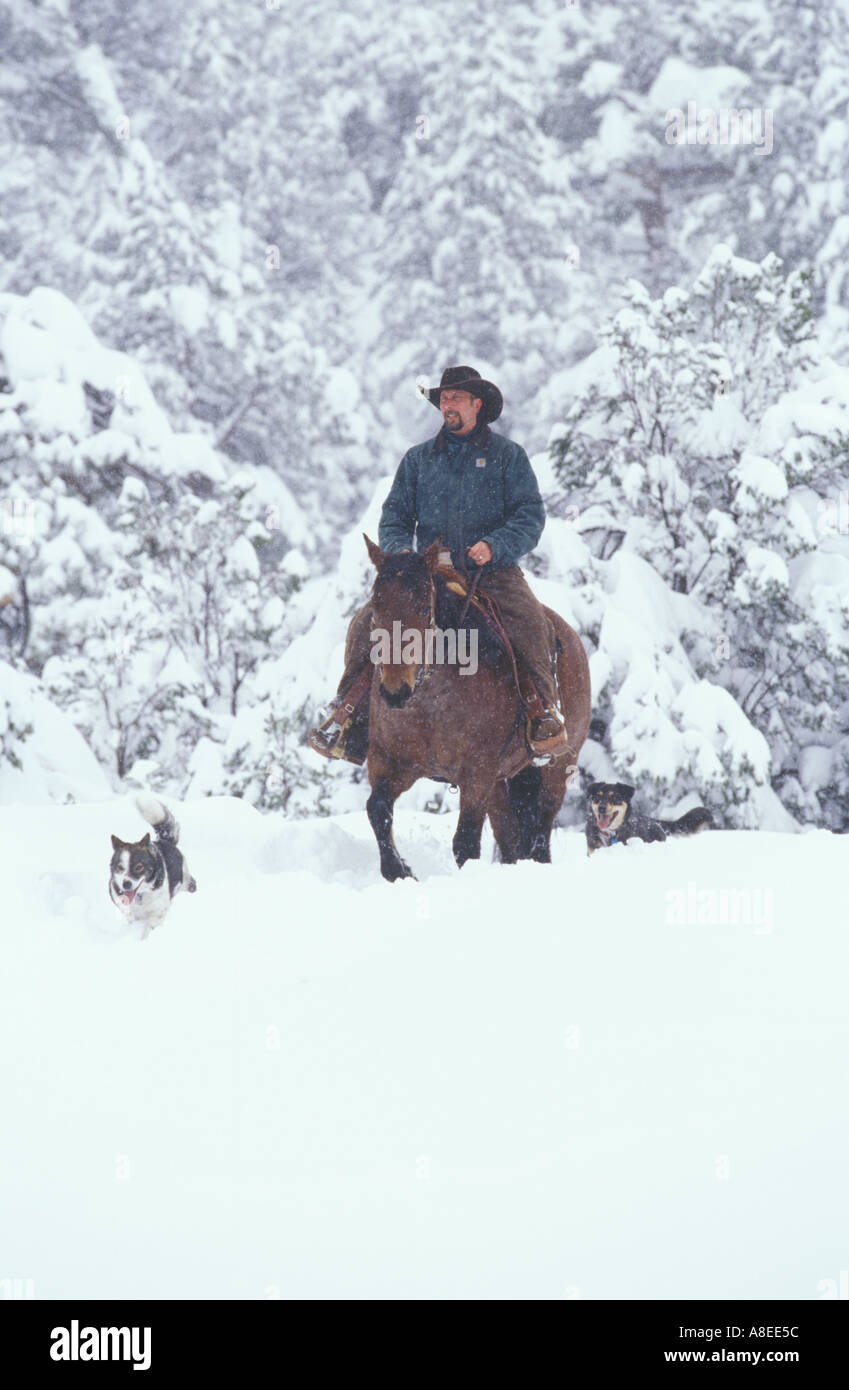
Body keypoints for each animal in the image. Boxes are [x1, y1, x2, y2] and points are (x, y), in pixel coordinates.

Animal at [362, 535, 592, 881]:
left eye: (423, 608)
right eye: (376, 608)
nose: (395, 691)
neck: (431, 705)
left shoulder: (477, 774)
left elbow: (466, 843)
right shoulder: (389, 762)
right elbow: (377, 809)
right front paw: (399, 871)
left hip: (559, 764)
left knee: (540, 832)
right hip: (500, 782)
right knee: (511, 837)